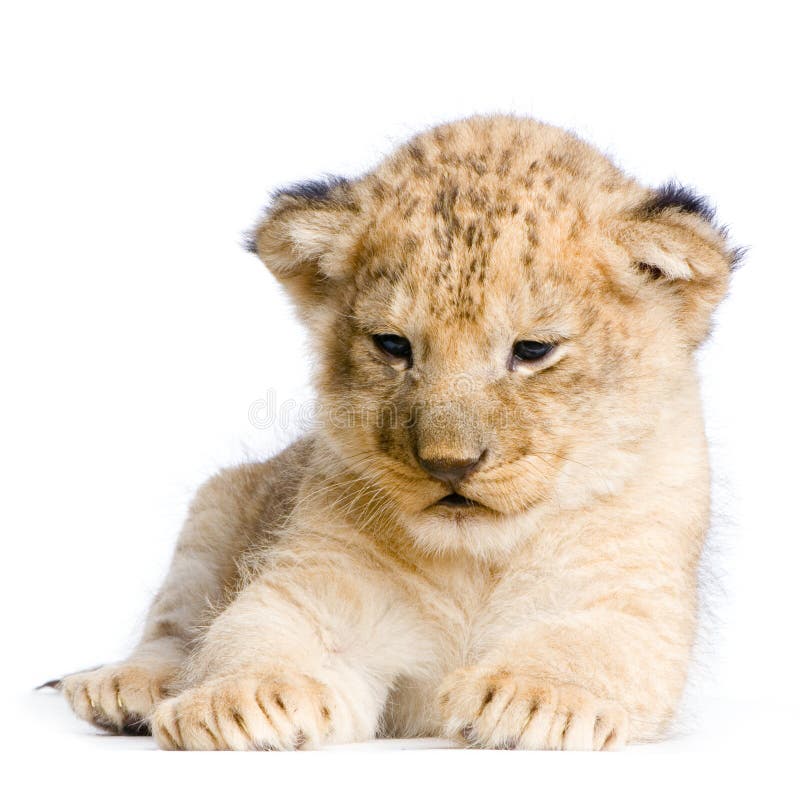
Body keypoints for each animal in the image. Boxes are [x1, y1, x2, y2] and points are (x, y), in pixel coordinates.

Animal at [51, 115, 738, 750]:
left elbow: (588, 645)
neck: (476, 564)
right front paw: (236, 701)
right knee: (173, 624)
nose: (450, 465)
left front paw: (532, 700)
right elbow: (253, 633)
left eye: (533, 350)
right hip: (214, 510)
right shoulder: (315, 589)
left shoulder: (630, 599)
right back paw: (125, 688)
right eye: (393, 346)